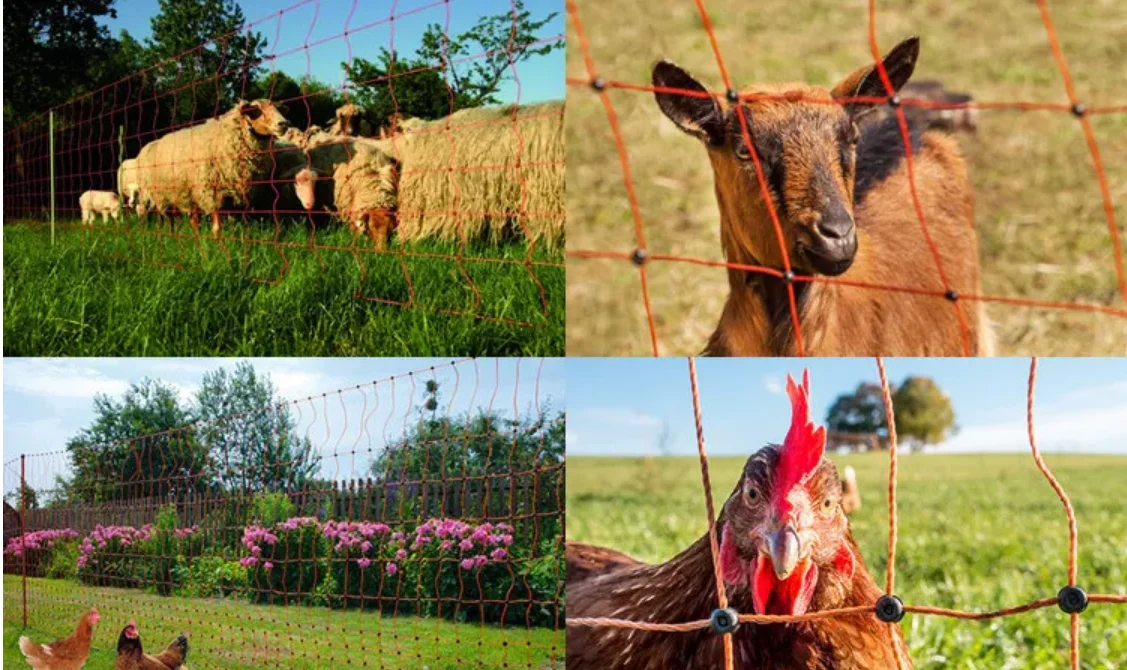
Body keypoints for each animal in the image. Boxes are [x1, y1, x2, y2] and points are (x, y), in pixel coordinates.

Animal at [134, 99, 291, 236]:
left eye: (277, 108)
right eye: (256, 110)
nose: (284, 123)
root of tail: (150, 145)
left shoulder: (234, 195)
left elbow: (234, 224)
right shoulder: (211, 191)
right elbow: (217, 227)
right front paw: (219, 243)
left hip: (183, 194)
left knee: (188, 219)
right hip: (161, 194)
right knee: (166, 218)